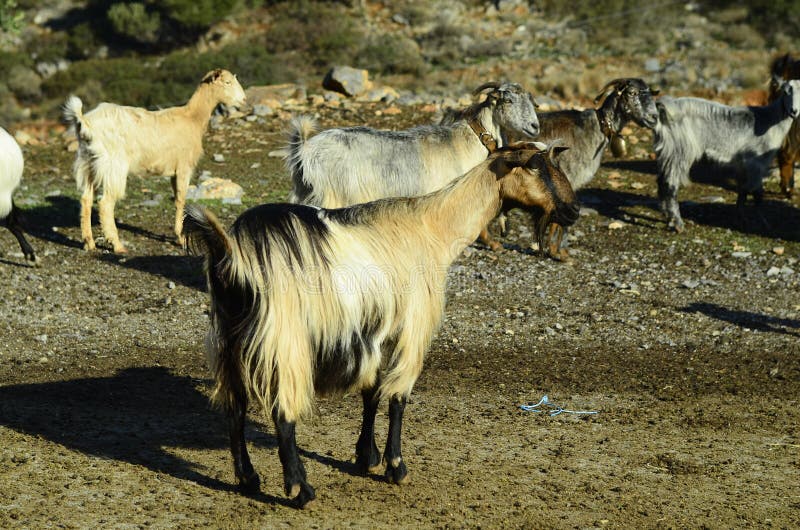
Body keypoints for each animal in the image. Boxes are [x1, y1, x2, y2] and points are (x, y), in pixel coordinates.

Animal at [62, 69, 246, 254]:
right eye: (227, 82)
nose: (244, 100)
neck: (192, 117)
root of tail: (85, 123)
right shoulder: (184, 167)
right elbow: (181, 199)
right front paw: (180, 237)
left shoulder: (173, 171)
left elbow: (176, 198)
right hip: (113, 166)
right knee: (105, 203)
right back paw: (117, 245)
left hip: (88, 163)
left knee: (86, 199)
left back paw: (89, 243)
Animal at [183, 145, 579, 508]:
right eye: (535, 165)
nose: (573, 210)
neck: (433, 229)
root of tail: (231, 253)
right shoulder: (413, 327)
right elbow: (398, 397)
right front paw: (396, 466)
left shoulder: (378, 330)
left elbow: (371, 393)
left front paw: (367, 457)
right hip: (284, 336)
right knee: (283, 411)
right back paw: (300, 489)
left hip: (227, 338)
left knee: (235, 407)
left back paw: (248, 479)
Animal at [285, 82, 540, 211]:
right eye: (508, 100)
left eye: (531, 101)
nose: (535, 126)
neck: (469, 140)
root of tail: (304, 150)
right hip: (334, 195)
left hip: (304, 192)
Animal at [653, 79, 800, 232]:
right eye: (785, 92)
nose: (794, 111)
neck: (769, 119)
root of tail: (665, 109)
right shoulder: (755, 164)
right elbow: (757, 193)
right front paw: (764, 223)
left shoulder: (743, 165)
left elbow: (743, 191)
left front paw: (741, 219)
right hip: (679, 150)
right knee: (670, 184)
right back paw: (678, 224)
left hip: (668, 152)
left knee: (661, 181)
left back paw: (667, 218)